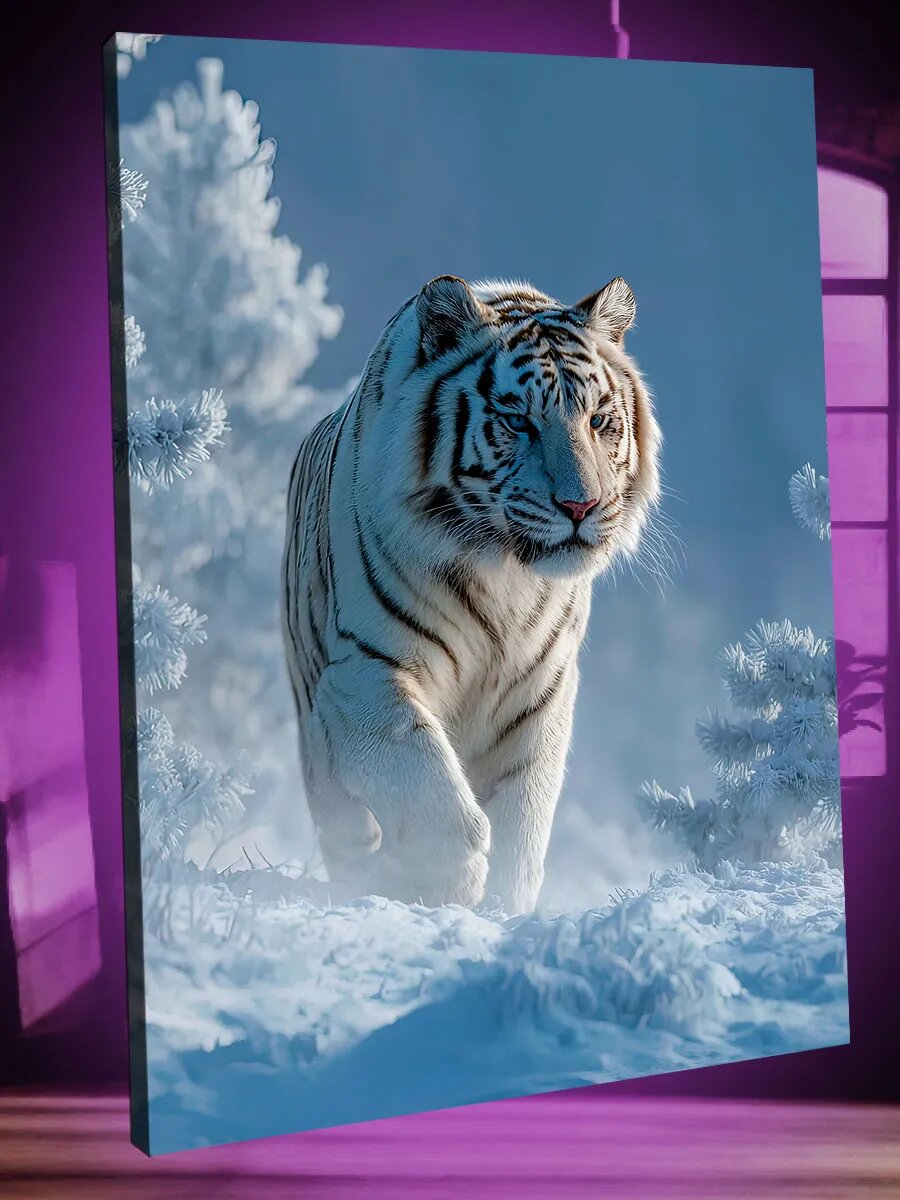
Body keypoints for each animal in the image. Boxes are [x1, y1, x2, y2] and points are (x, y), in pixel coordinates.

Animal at [281, 274, 662, 914]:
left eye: (599, 420)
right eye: (518, 421)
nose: (581, 506)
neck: (504, 573)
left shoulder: (541, 692)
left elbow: (522, 814)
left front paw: (501, 902)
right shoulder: (362, 673)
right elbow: (420, 778)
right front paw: (452, 881)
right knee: (347, 827)